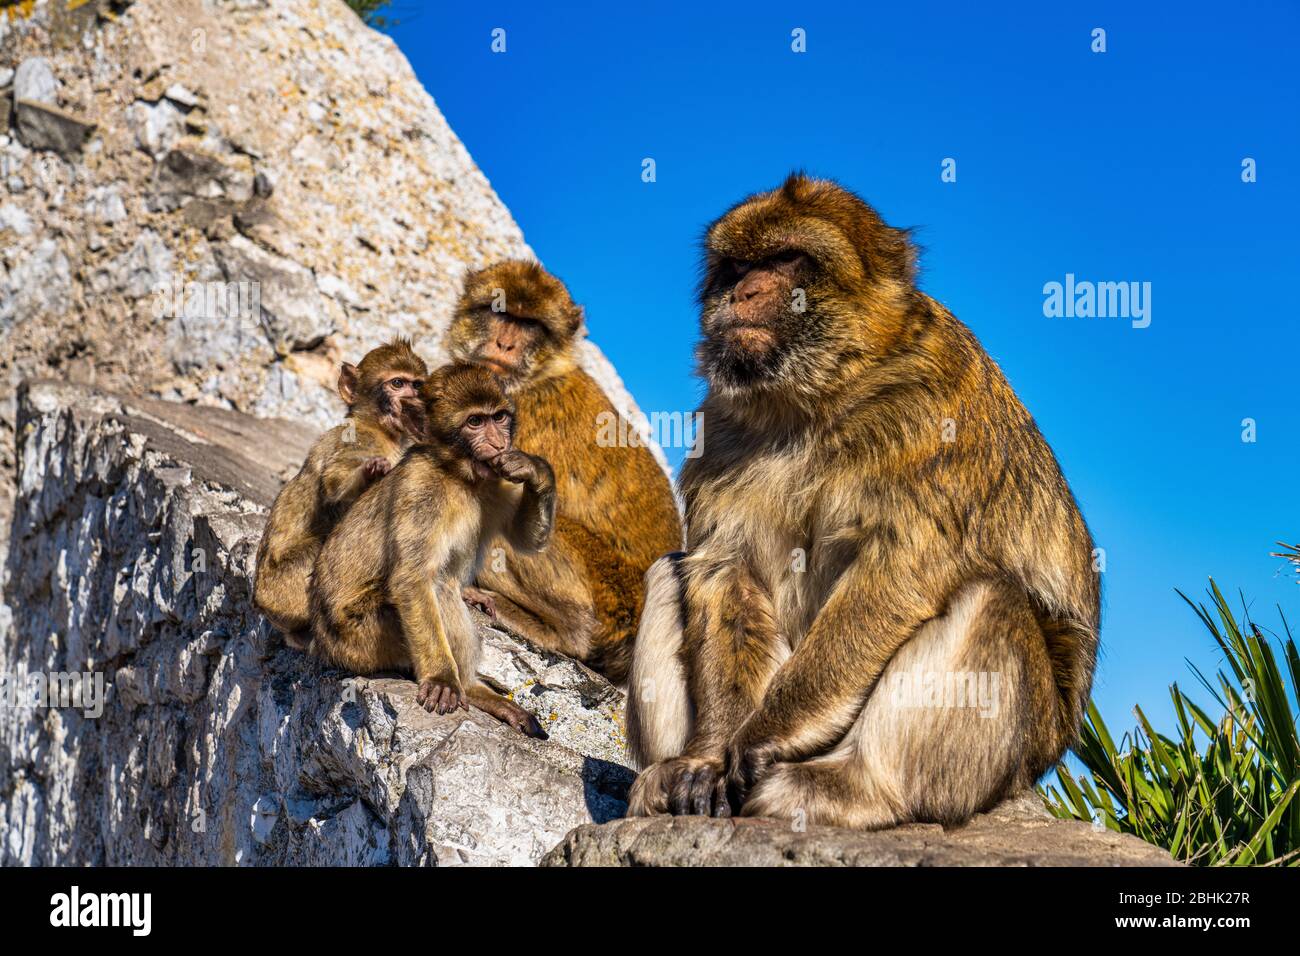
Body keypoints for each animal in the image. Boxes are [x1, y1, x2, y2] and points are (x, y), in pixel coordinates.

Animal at [254, 338, 429, 644]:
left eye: (416, 385)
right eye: (398, 383)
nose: (412, 399)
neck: (378, 427)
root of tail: (262, 603)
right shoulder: (360, 441)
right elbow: (335, 484)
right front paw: (370, 472)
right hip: (286, 588)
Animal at [308, 362, 556, 738]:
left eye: (498, 417)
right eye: (474, 422)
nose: (499, 442)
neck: (458, 475)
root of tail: (321, 644)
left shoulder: (494, 479)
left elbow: (525, 539)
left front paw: (534, 468)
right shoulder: (421, 490)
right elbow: (412, 579)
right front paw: (441, 678)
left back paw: (475, 689)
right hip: (359, 642)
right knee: (437, 585)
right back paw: (460, 683)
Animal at [444, 260, 682, 684]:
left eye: (531, 325)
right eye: (499, 313)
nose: (505, 345)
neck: (538, 377)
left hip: (607, 594)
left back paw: (567, 631)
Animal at [625, 174, 1100, 829]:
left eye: (787, 259)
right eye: (738, 266)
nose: (744, 291)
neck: (819, 396)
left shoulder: (933, 409)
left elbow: (896, 571)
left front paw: (762, 738)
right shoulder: (722, 430)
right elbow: (726, 569)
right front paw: (711, 755)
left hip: (1006, 760)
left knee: (991, 596)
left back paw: (856, 787)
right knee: (668, 571)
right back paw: (664, 777)